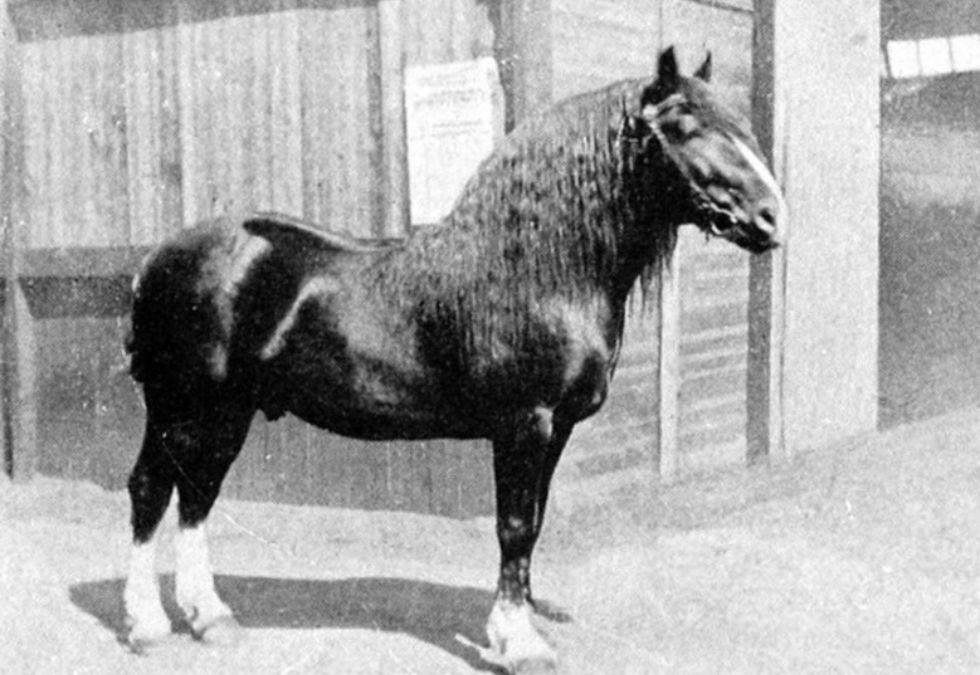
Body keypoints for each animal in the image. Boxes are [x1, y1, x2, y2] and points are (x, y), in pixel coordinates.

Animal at [121, 47, 785, 673]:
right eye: (684, 125)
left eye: (740, 126)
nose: (771, 217)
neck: (540, 274)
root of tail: (159, 257)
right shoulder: (524, 424)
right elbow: (513, 526)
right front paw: (519, 642)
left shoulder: (557, 429)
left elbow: (534, 524)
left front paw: (513, 624)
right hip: (181, 408)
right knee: (152, 489)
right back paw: (147, 624)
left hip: (227, 413)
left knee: (197, 493)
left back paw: (209, 617)